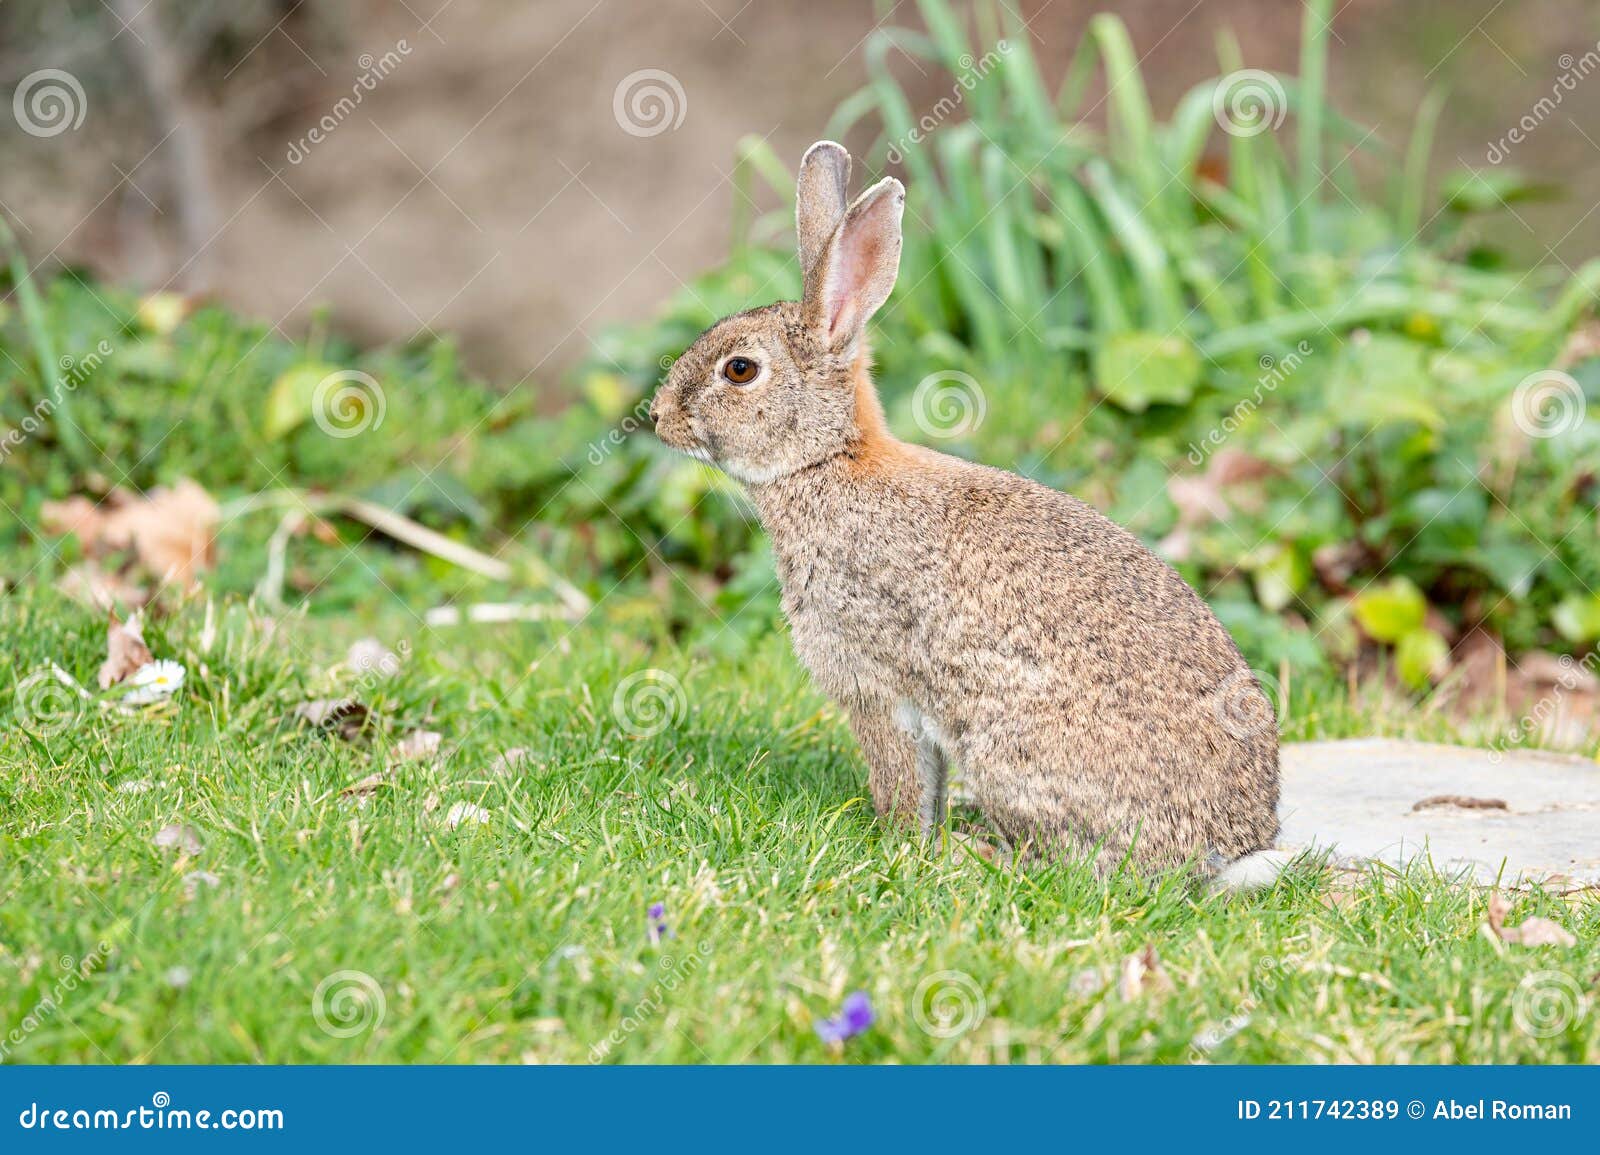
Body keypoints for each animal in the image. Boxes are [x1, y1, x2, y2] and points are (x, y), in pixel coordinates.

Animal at [650, 140, 1282, 887]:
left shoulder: (874, 683)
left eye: (740, 370)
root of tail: (1232, 850)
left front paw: (901, 841)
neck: (826, 462)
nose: (657, 417)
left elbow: (902, 778)